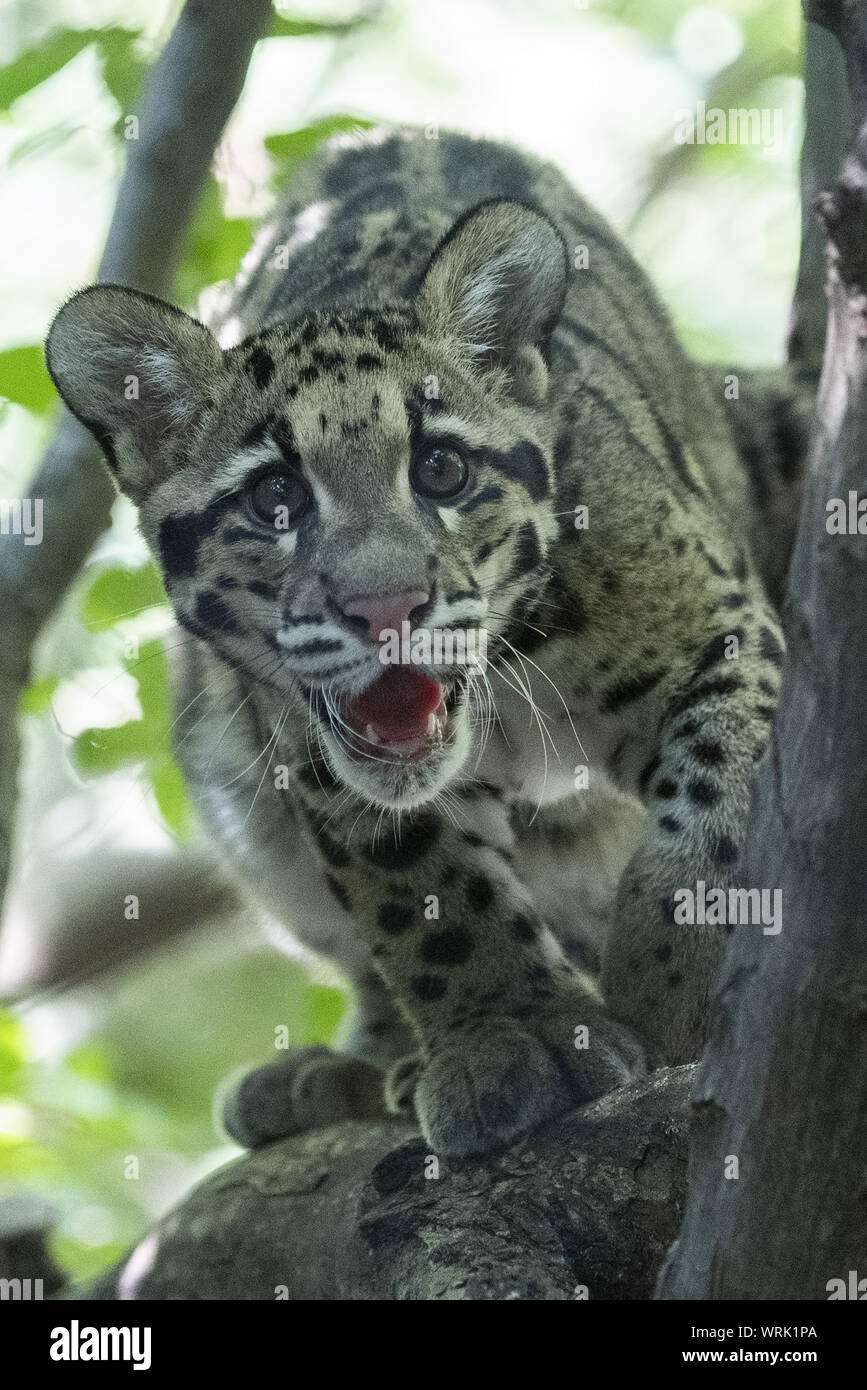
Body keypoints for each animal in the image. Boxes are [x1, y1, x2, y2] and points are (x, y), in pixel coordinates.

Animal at [45, 127, 811, 1157]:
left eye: (441, 470)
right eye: (274, 498)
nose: (386, 608)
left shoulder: (715, 630)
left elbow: (719, 799)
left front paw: (684, 979)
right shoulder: (321, 762)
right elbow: (424, 894)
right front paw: (510, 1037)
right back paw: (349, 1073)